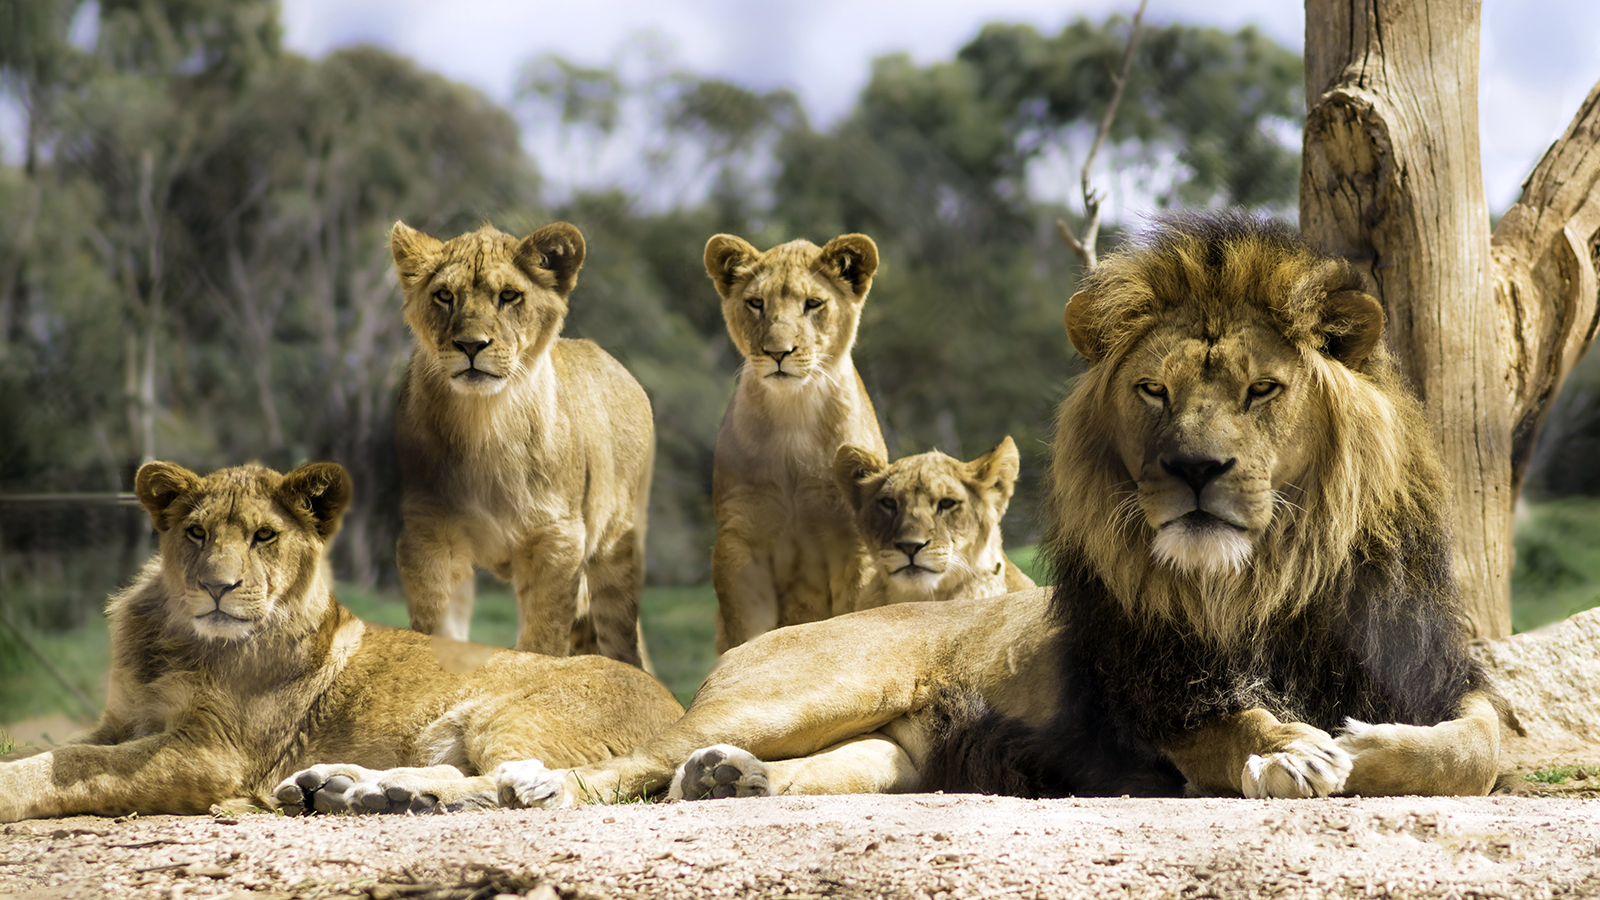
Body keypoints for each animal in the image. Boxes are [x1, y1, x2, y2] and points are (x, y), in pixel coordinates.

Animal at [0, 461, 682, 823]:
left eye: (264, 536)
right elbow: (59, 749)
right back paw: (345, 786)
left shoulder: (212, 753)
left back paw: (389, 794)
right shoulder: (122, 722)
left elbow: (72, 765)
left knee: (526, 784)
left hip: (506, 713)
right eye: (195, 533)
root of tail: (676, 706)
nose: (218, 587)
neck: (179, 638)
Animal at [391, 221, 654, 667]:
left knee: (621, 644)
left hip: (616, 549)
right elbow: (436, 624)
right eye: (444, 295)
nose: (471, 345)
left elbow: (543, 639)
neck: (484, 423)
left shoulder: (558, 537)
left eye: (509, 296)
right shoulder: (429, 532)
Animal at [705, 233, 887, 652]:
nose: (778, 352)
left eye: (813, 304)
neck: (794, 414)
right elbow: (745, 630)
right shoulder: (740, 535)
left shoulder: (856, 543)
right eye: (756, 303)